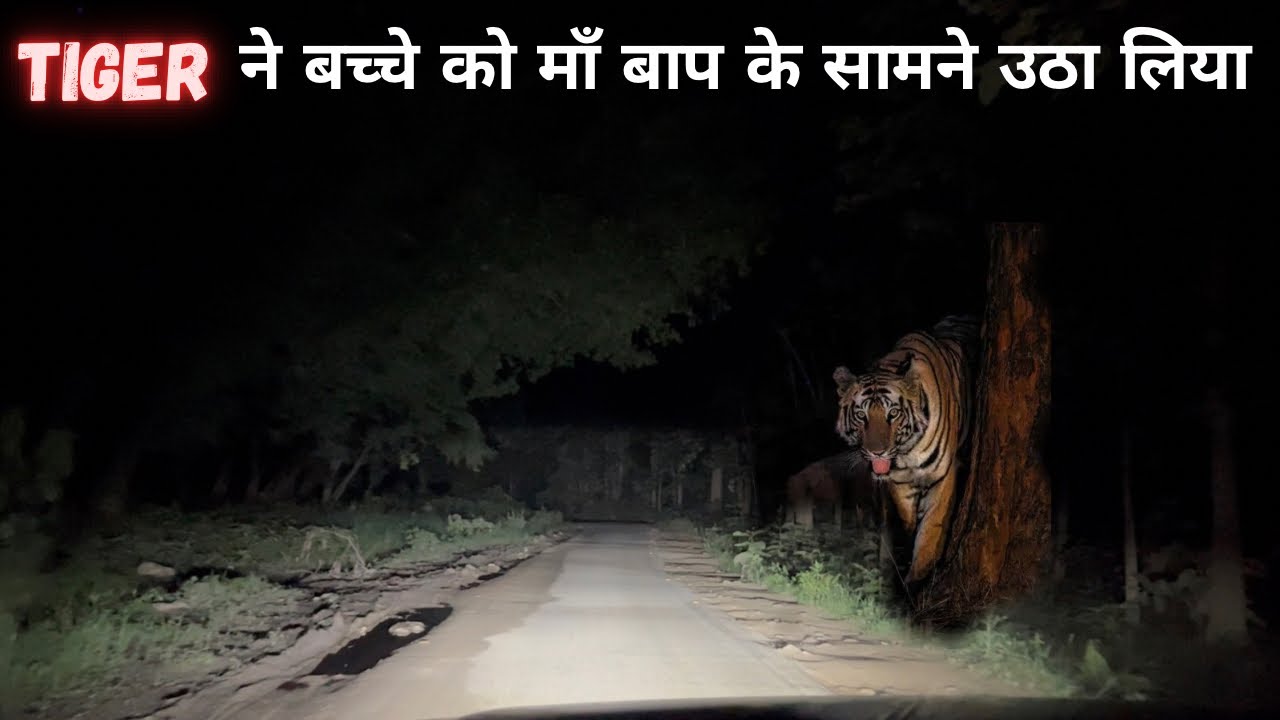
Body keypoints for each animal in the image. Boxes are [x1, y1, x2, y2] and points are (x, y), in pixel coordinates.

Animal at [831, 314, 980, 584]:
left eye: (893, 414)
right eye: (861, 415)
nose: (877, 452)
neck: (907, 452)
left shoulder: (941, 476)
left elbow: (931, 530)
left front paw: (918, 580)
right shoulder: (898, 480)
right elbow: (906, 516)